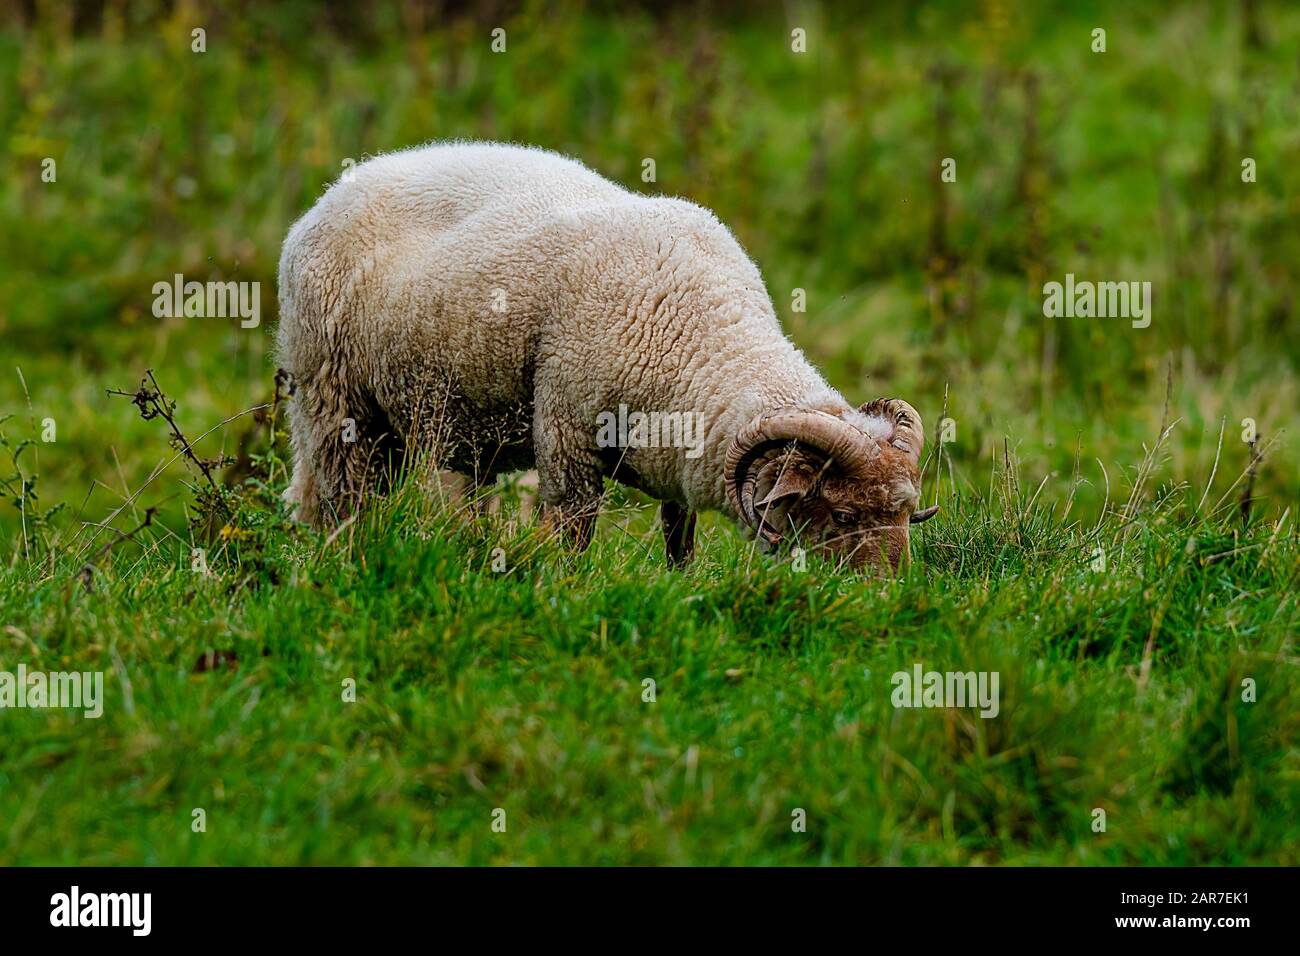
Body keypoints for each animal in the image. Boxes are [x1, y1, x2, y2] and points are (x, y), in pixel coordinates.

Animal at [276, 141, 937, 571]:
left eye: (907, 514)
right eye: (843, 517)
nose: (883, 600)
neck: (700, 332)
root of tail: (335, 192)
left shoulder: (675, 454)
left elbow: (679, 533)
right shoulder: (566, 431)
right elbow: (572, 532)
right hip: (336, 406)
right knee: (342, 503)